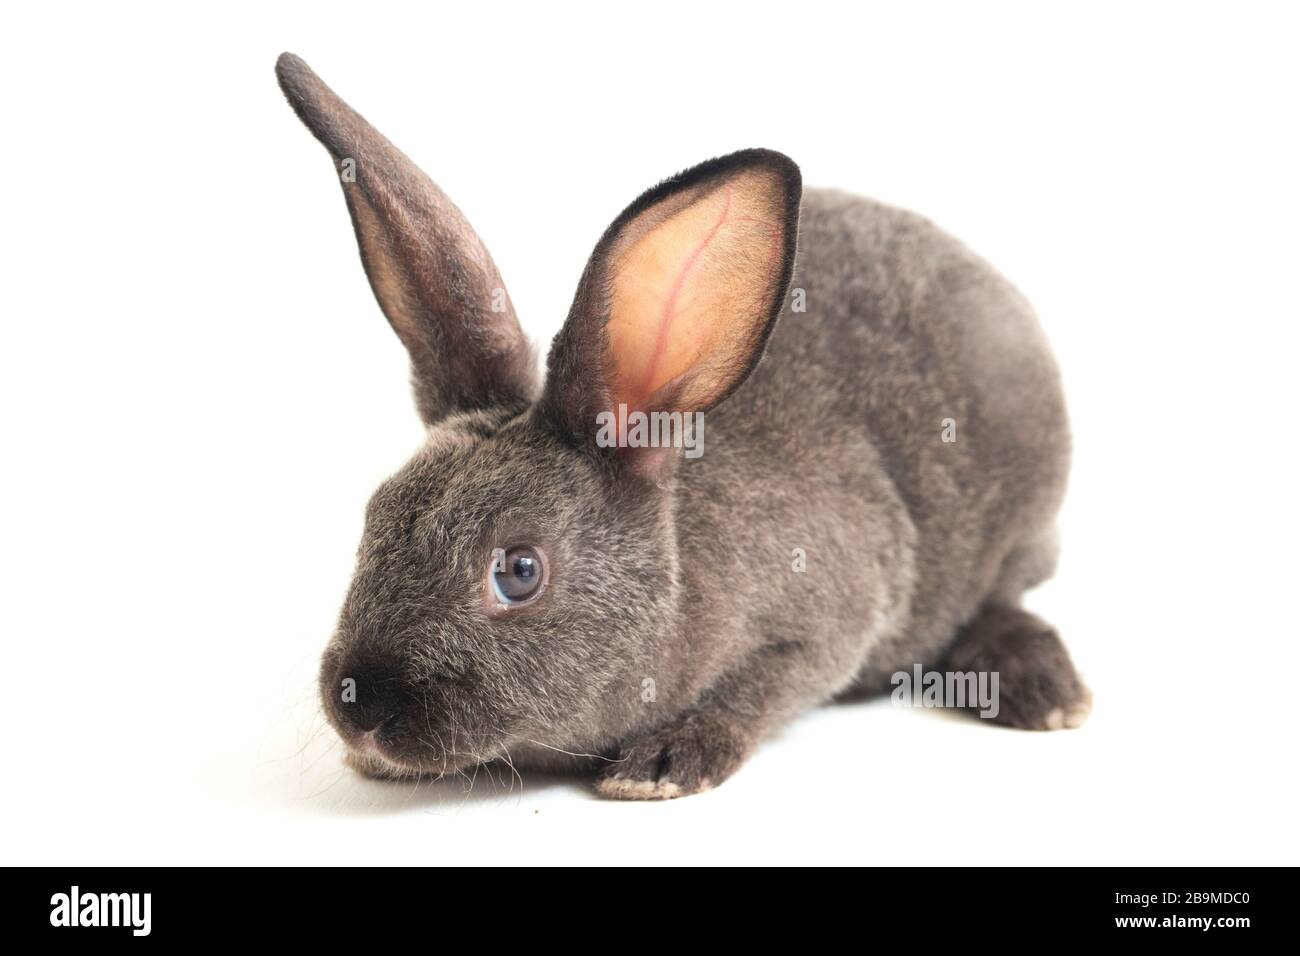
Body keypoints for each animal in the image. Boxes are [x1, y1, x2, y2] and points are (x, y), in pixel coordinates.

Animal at [275, 52, 1090, 800]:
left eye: (518, 571)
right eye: (372, 523)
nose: (360, 706)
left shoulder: (827, 621)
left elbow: (762, 690)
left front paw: (664, 762)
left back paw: (1045, 693)